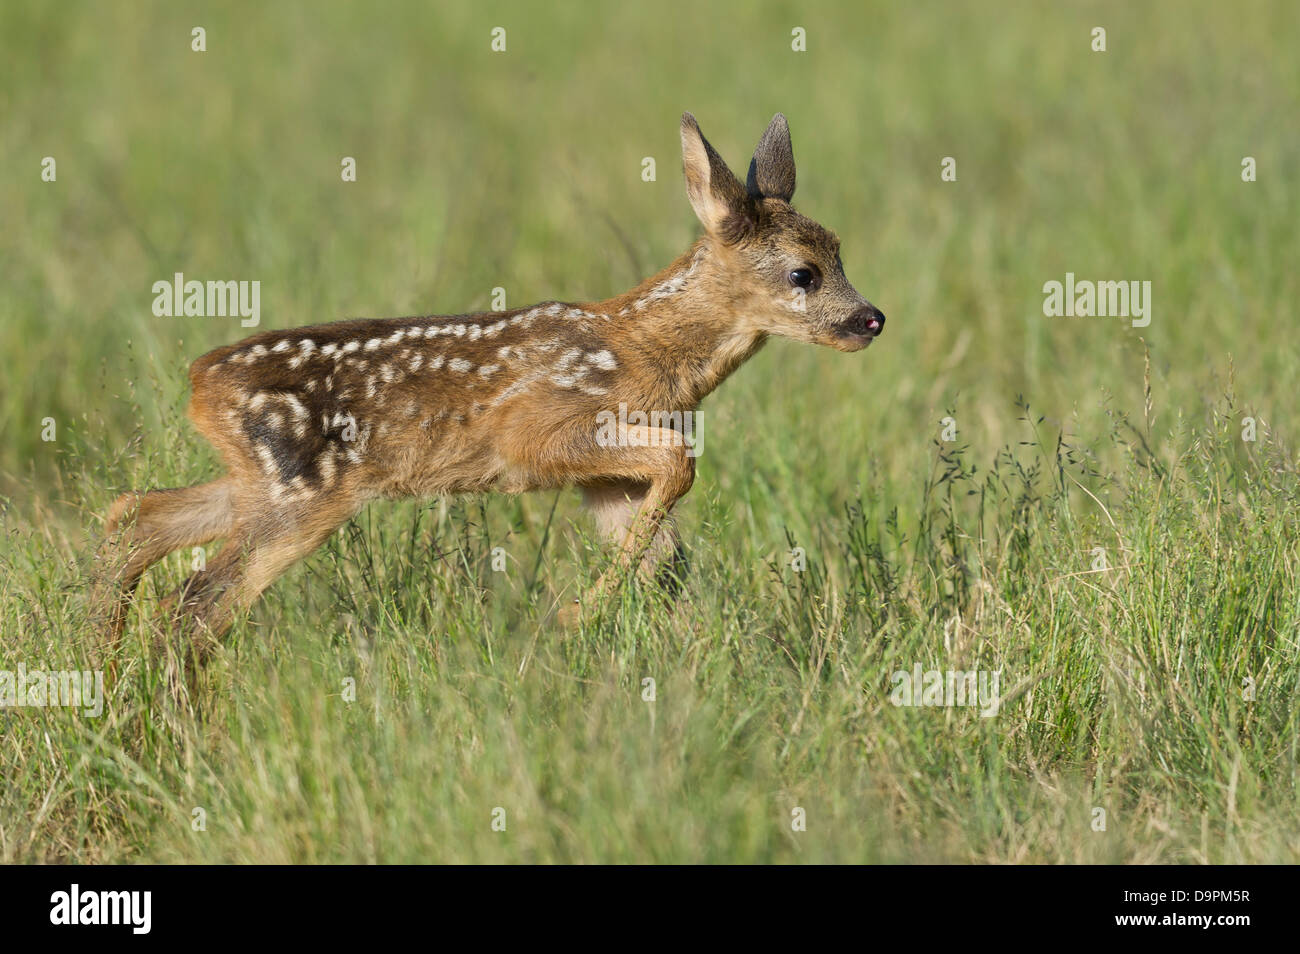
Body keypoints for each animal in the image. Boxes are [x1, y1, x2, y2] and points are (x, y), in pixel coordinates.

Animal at [92, 112, 886, 662]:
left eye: (842, 252)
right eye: (803, 273)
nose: (872, 319)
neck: (645, 352)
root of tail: (199, 383)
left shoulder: (608, 483)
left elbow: (665, 556)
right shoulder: (537, 434)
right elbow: (679, 466)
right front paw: (576, 616)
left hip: (258, 483)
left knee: (137, 517)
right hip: (298, 497)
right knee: (193, 603)